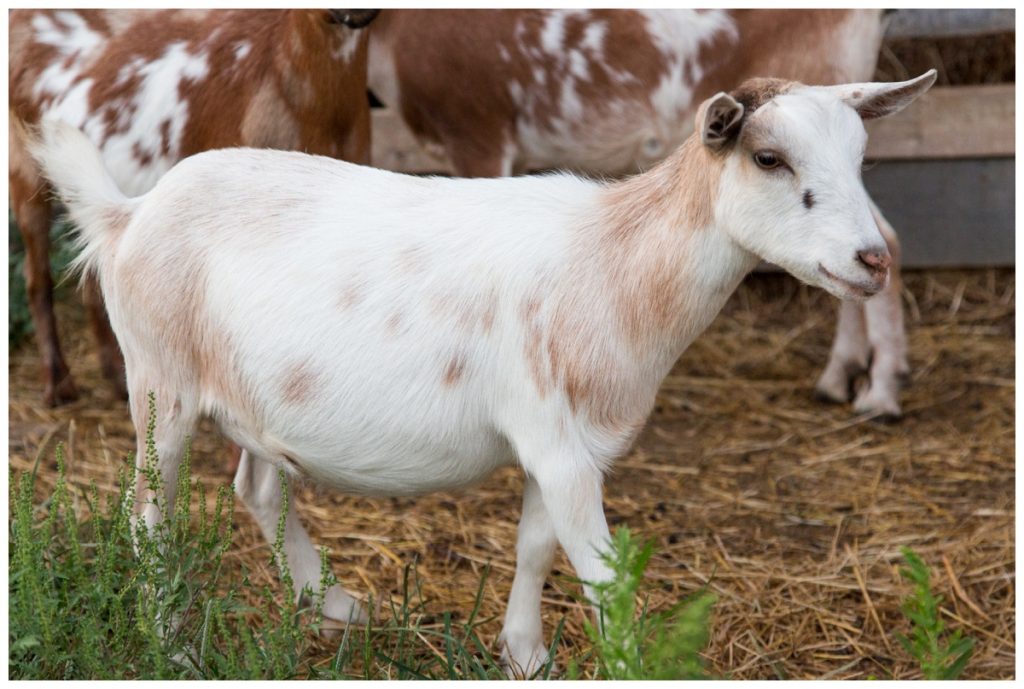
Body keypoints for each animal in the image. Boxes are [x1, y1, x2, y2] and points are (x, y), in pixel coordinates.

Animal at [33, 70, 935, 676]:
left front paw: (524, 651)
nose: (874, 258)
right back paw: (174, 647)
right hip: (160, 381)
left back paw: (332, 603)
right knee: (150, 517)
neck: (615, 260)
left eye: (861, 155)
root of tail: (128, 214)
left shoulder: (563, 443)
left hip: (255, 396)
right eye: (769, 157)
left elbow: (536, 546)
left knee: (256, 486)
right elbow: (600, 574)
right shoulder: (557, 440)